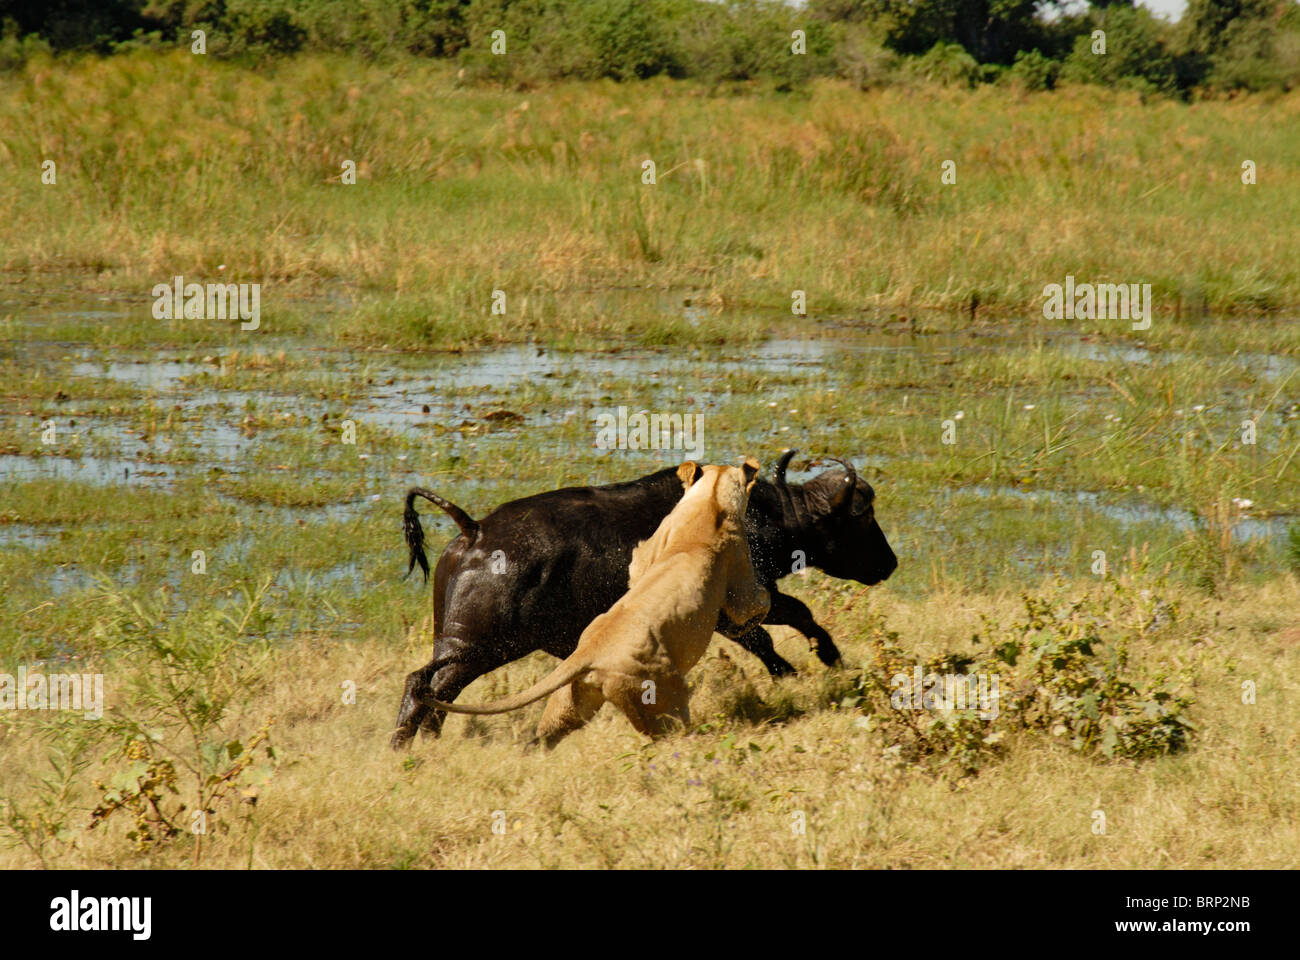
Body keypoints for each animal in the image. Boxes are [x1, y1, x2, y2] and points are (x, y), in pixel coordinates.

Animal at [390, 450, 897, 749]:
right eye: (861, 515)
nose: (890, 563)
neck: (763, 513)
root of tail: (472, 529)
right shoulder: (739, 606)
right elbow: (787, 622)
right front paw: (818, 660)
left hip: (460, 649)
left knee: (434, 691)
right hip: (475, 650)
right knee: (421, 686)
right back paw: (405, 748)